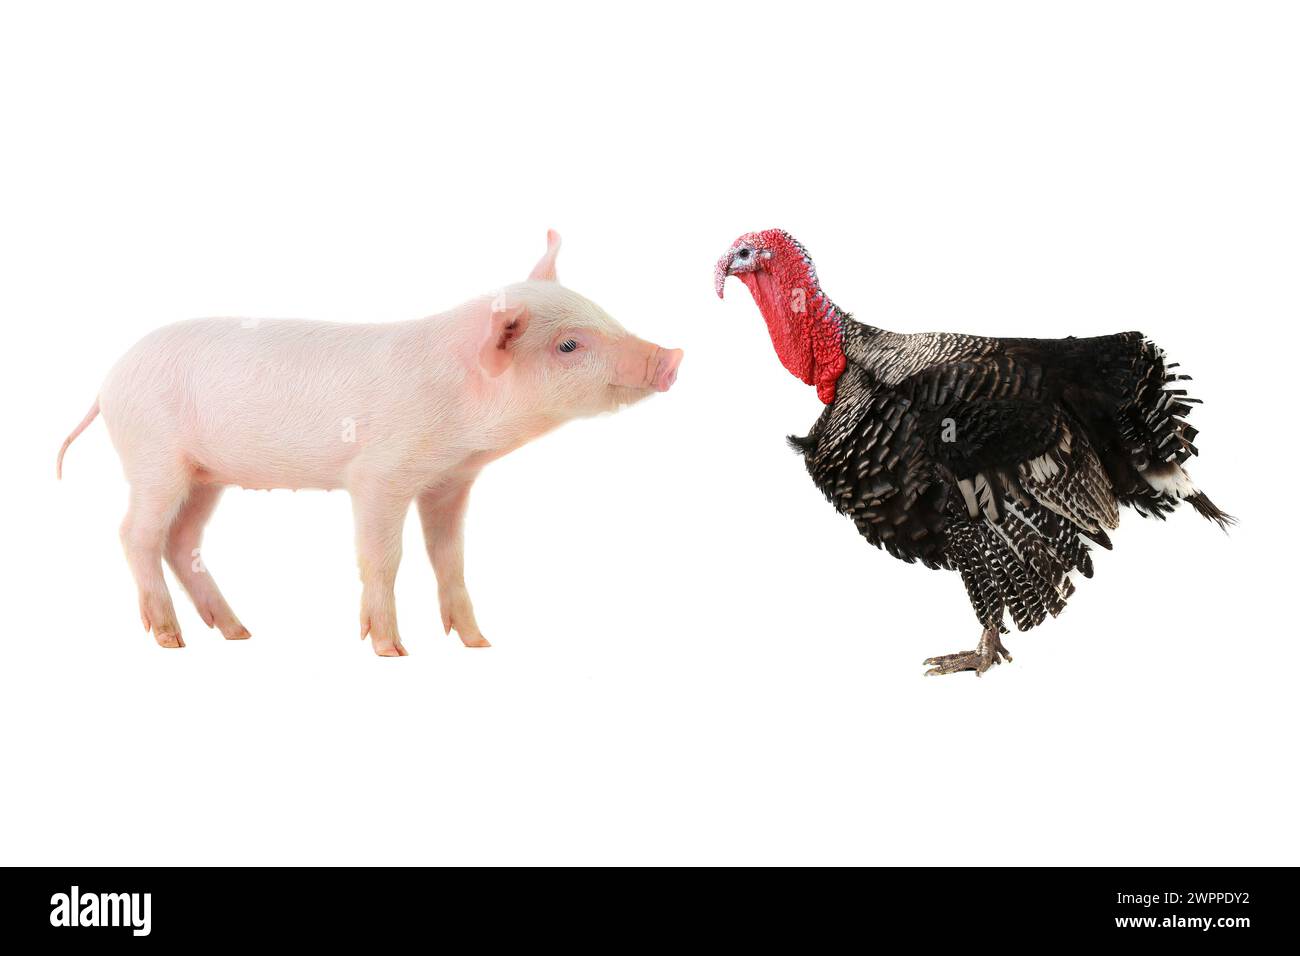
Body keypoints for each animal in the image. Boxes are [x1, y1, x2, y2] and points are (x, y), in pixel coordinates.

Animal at [57, 231, 683, 655]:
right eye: (569, 345)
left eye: (604, 313)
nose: (672, 356)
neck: (466, 416)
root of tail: (107, 382)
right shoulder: (378, 475)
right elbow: (384, 557)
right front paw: (391, 650)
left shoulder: (450, 480)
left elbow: (450, 558)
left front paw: (479, 643)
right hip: (153, 456)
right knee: (135, 534)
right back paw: (171, 639)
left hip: (205, 475)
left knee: (182, 541)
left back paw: (239, 633)